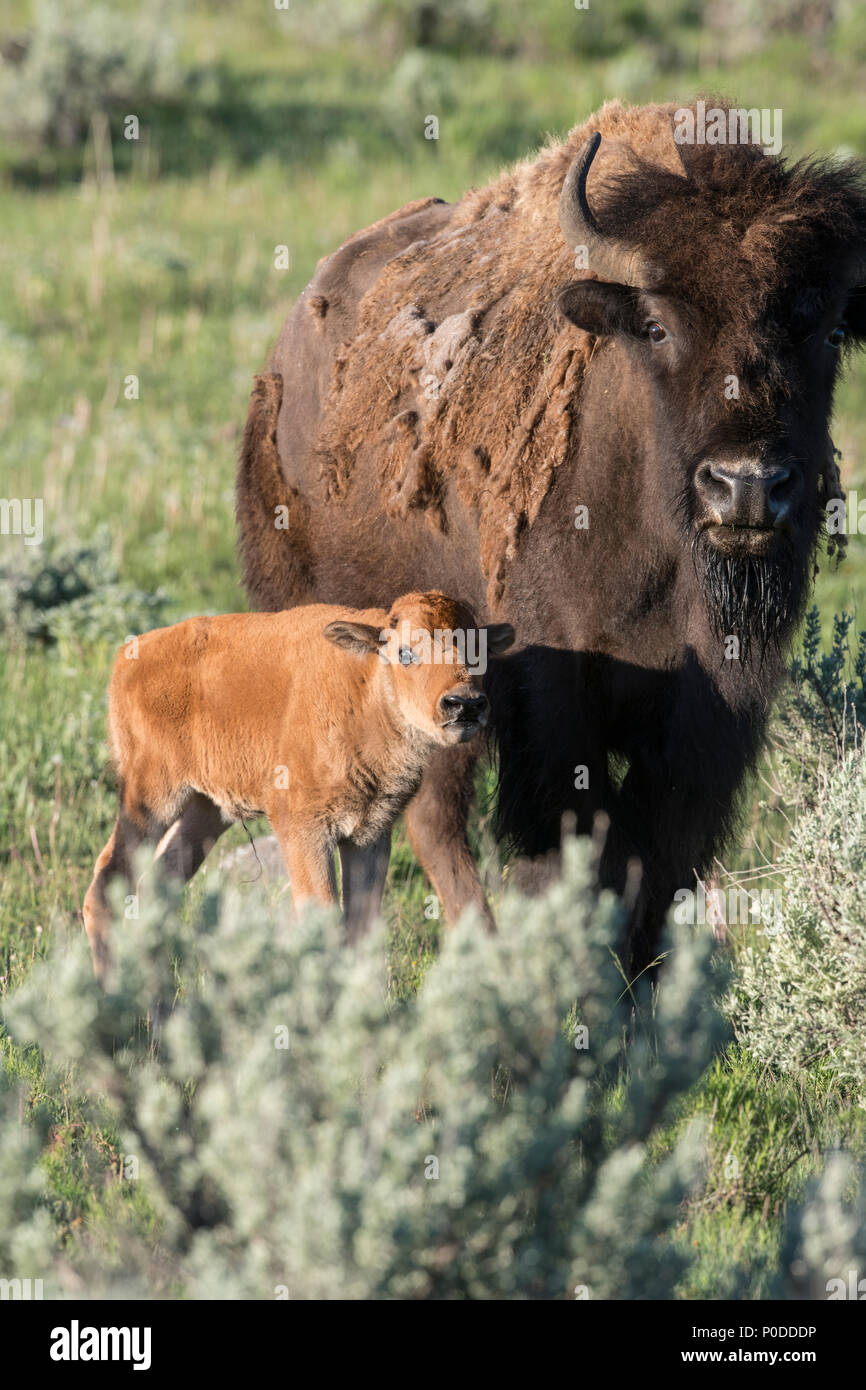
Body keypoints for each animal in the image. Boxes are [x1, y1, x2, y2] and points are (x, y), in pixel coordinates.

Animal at [82, 593, 515, 982]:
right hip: (152, 796)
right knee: (106, 882)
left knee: (158, 882)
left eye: (478, 653)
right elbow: (320, 920)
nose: (465, 704)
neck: (365, 688)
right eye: (406, 653)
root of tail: (127, 656)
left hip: (206, 810)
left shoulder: (370, 834)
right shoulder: (304, 830)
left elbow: (360, 930)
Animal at [236, 98, 866, 975]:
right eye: (658, 326)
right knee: (433, 823)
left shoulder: (715, 714)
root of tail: (286, 356)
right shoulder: (550, 700)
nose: (745, 486)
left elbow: (659, 854)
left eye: (832, 330)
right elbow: (567, 854)